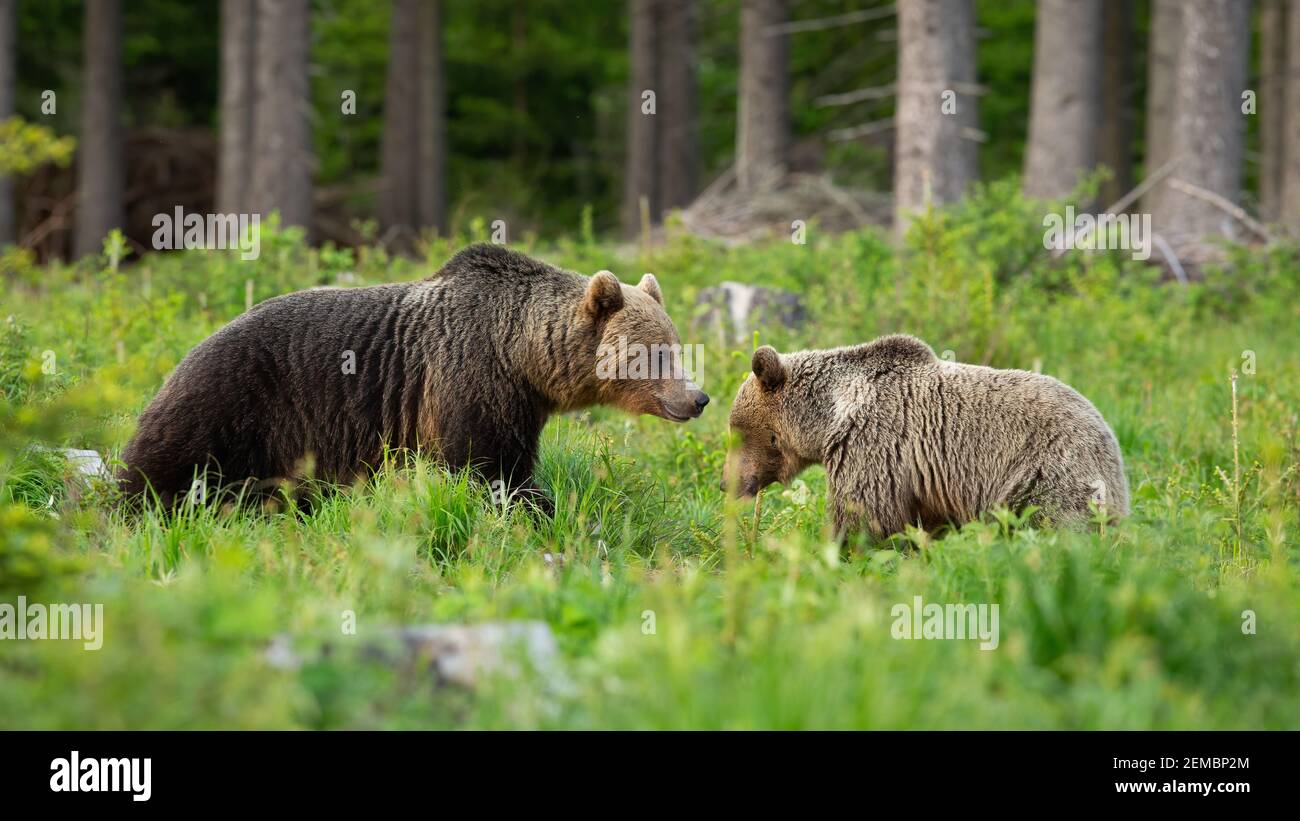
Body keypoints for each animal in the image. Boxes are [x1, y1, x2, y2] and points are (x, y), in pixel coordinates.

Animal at [118, 243, 709, 512]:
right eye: (654, 353)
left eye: (674, 346)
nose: (699, 397)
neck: (522, 356)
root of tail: (186, 354)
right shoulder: (469, 378)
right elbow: (486, 465)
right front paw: (536, 506)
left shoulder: (518, 401)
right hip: (235, 399)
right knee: (174, 462)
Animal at [723, 334, 1128, 539]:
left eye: (736, 433)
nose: (728, 482)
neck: (829, 416)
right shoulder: (925, 478)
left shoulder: (872, 441)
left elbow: (863, 513)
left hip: (1044, 473)